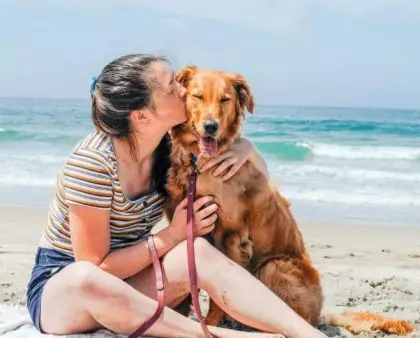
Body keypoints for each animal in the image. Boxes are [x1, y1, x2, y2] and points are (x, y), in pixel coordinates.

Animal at [164, 65, 414, 336]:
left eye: (225, 100)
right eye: (197, 96)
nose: (211, 127)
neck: (197, 164)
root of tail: (320, 314)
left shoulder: (231, 235)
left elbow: (217, 295)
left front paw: (209, 324)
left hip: (272, 267)